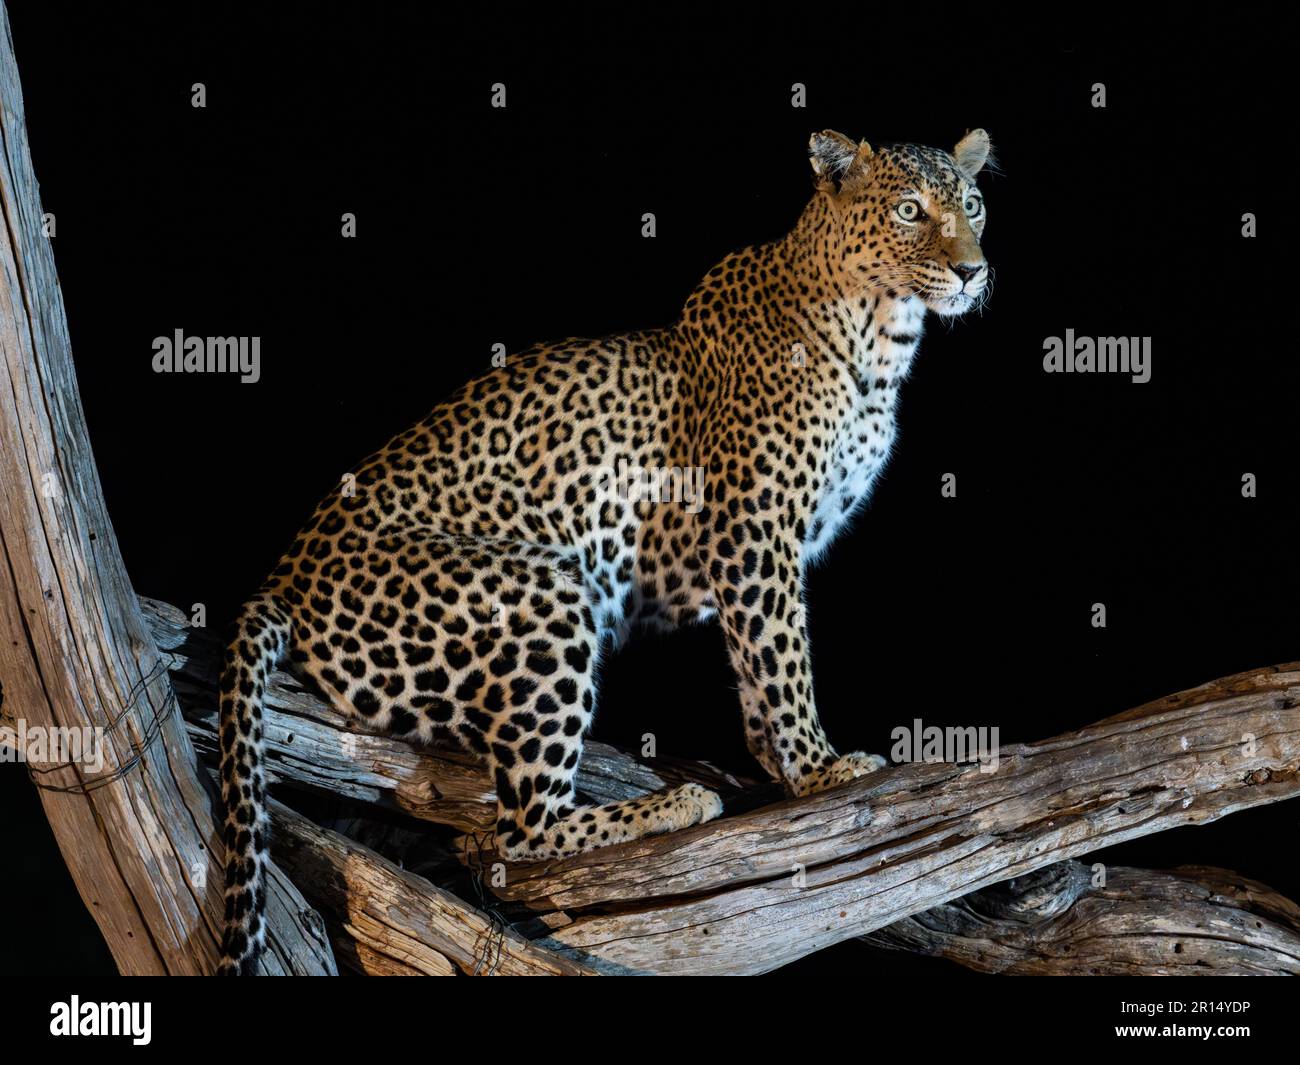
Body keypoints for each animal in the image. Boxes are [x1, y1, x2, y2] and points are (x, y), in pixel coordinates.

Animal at [217, 128, 993, 973]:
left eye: (973, 203)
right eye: (910, 211)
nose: (971, 268)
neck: (882, 336)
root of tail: (282, 579)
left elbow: (759, 667)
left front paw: (778, 763)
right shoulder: (753, 527)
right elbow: (783, 657)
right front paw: (820, 767)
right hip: (545, 593)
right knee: (517, 832)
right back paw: (671, 804)